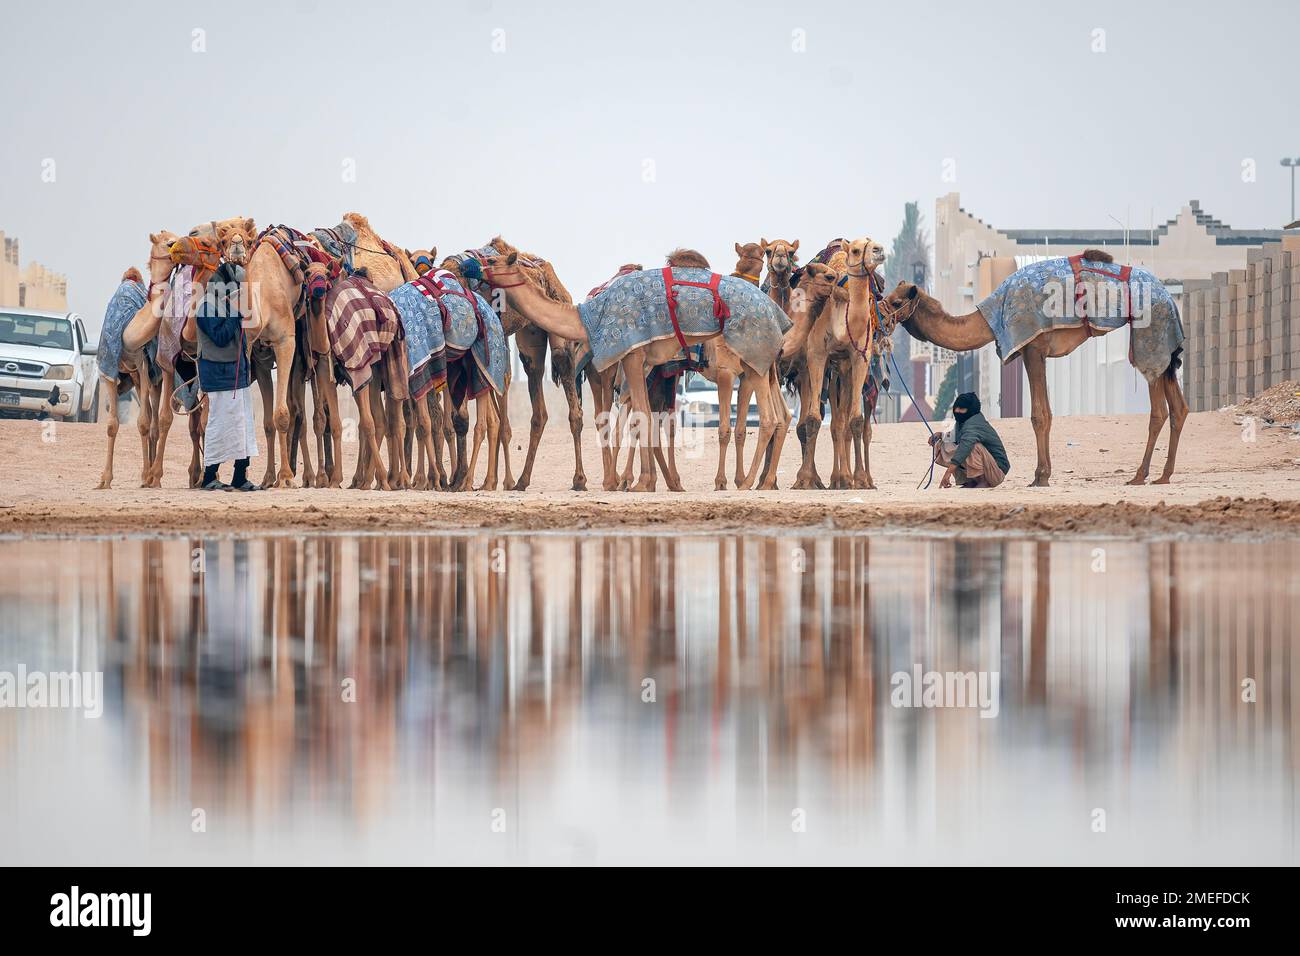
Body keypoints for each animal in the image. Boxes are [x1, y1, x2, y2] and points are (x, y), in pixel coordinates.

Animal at [95, 239, 177, 489]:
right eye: (168, 242)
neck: (127, 332)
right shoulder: (108, 368)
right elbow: (112, 424)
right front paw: (105, 479)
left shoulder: (142, 365)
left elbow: (143, 423)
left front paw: (147, 475)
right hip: (134, 378)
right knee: (149, 419)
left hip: (150, 378)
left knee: (152, 423)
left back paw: (149, 475)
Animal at [480, 251, 788, 493]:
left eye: (492, 260)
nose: (477, 267)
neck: (588, 317)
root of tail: (778, 313)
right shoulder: (644, 363)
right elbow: (645, 418)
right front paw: (647, 481)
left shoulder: (632, 355)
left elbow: (641, 417)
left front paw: (640, 482)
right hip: (755, 365)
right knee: (773, 417)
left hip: (752, 361)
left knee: (768, 418)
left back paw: (747, 482)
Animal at [881, 249, 1188, 485]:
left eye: (896, 301)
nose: (880, 315)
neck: (989, 319)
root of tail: (1168, 295)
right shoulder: (1035, 351)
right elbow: (1045, 412)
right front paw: (1044, 474)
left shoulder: (1033, 347)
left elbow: (1040, 415)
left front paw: (1040, 476)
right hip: (1165, 346)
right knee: (1179, 407)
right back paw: (1164, 475)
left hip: (1149, 333)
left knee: (1158, 407)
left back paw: (1139, 475)